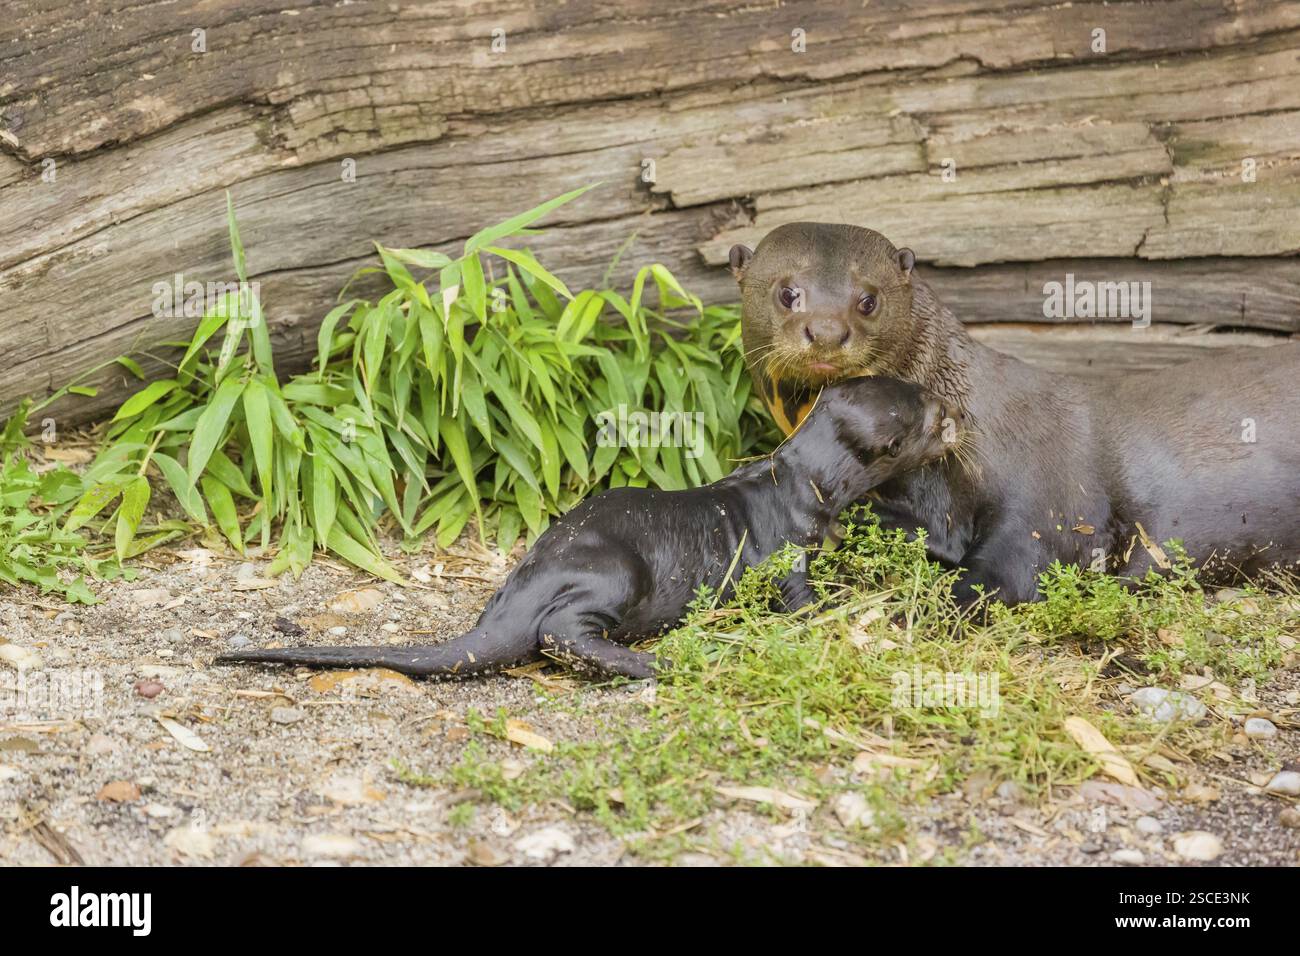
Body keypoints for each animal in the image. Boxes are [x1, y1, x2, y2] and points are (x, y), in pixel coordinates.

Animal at [219, 376, 959, 680]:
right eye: (924, 416)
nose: (954, 414)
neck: (799, 483)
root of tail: (515, 600)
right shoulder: (787, 559)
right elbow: (808, 603)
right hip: (616, 572)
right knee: (558, 634)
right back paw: (651, 663)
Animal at [731, 222, 1300, 603]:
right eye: (787, 292)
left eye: (868, 300)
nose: (828, 332)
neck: (966, 413)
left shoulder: (1049, 501)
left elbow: (1014, 563)